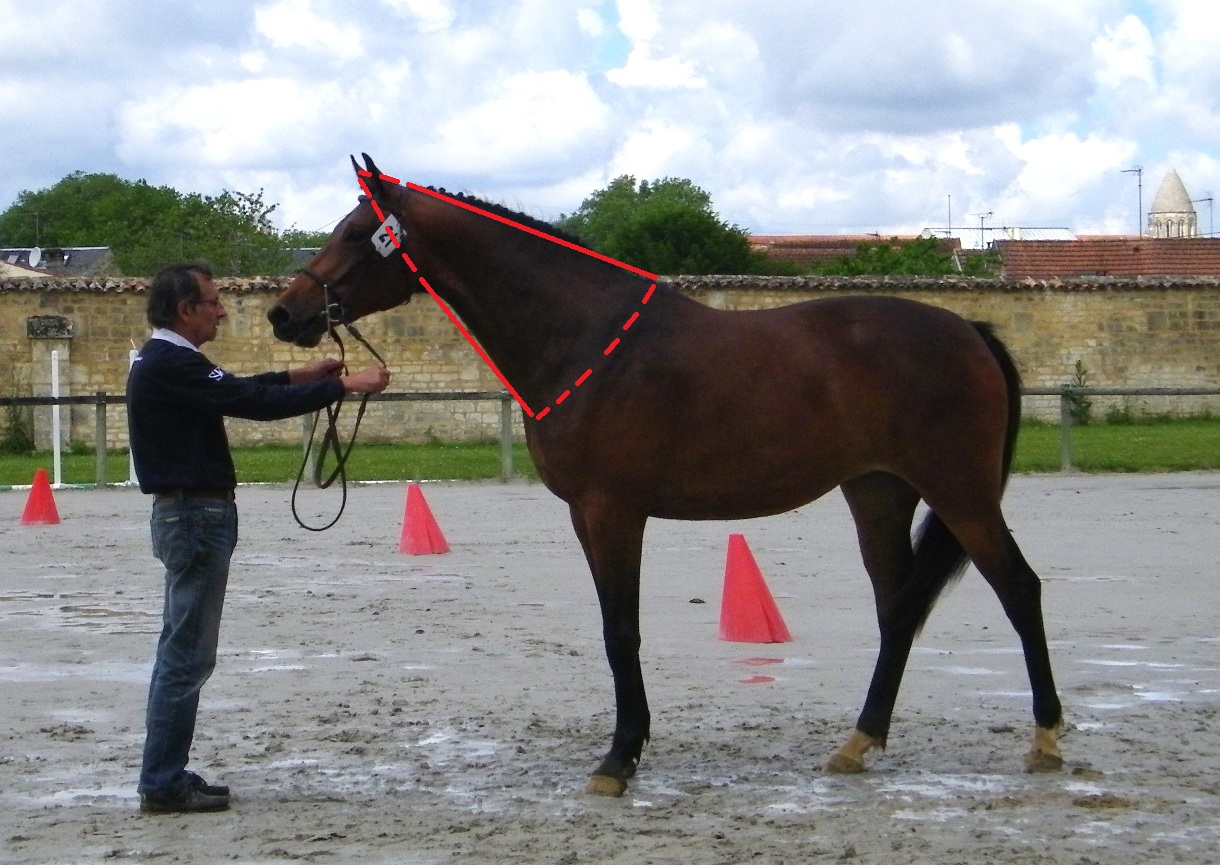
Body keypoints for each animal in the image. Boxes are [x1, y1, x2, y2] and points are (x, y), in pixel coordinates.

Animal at [268, 154, 1064, 796]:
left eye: (354, 232)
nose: (285, 313)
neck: (584, 339)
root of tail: (970, 330)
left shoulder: (612, 508)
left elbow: (623, 629)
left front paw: (618, 760)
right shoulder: (587, 514)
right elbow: (613, 625)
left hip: (960, 493)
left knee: (1020, 588)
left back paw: (1047, 739)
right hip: (877, 492)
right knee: (898, 609)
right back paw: (858, 743)